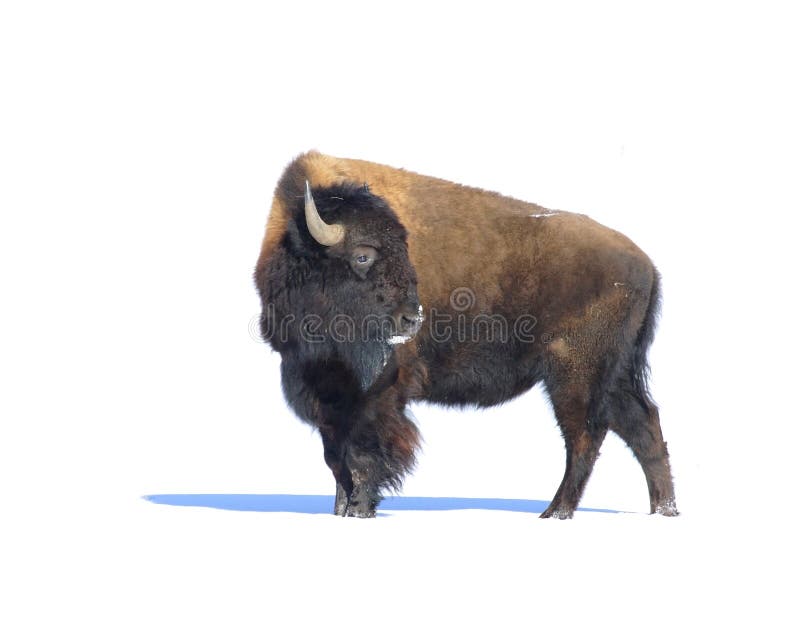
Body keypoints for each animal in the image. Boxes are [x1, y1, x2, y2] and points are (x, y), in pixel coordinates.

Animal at [255, 151, 677, 519]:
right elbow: (336, 461)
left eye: (403, 251)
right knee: (643, 427)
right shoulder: (322, 395)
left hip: (574, 377)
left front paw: (360, 511)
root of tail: (647, 266)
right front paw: (341, 511)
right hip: (613, 377)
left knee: (585, 439)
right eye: (362, 255)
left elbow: (361, 459)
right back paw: (663, 510)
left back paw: (554, 513)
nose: (411, 319)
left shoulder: (376, 396)